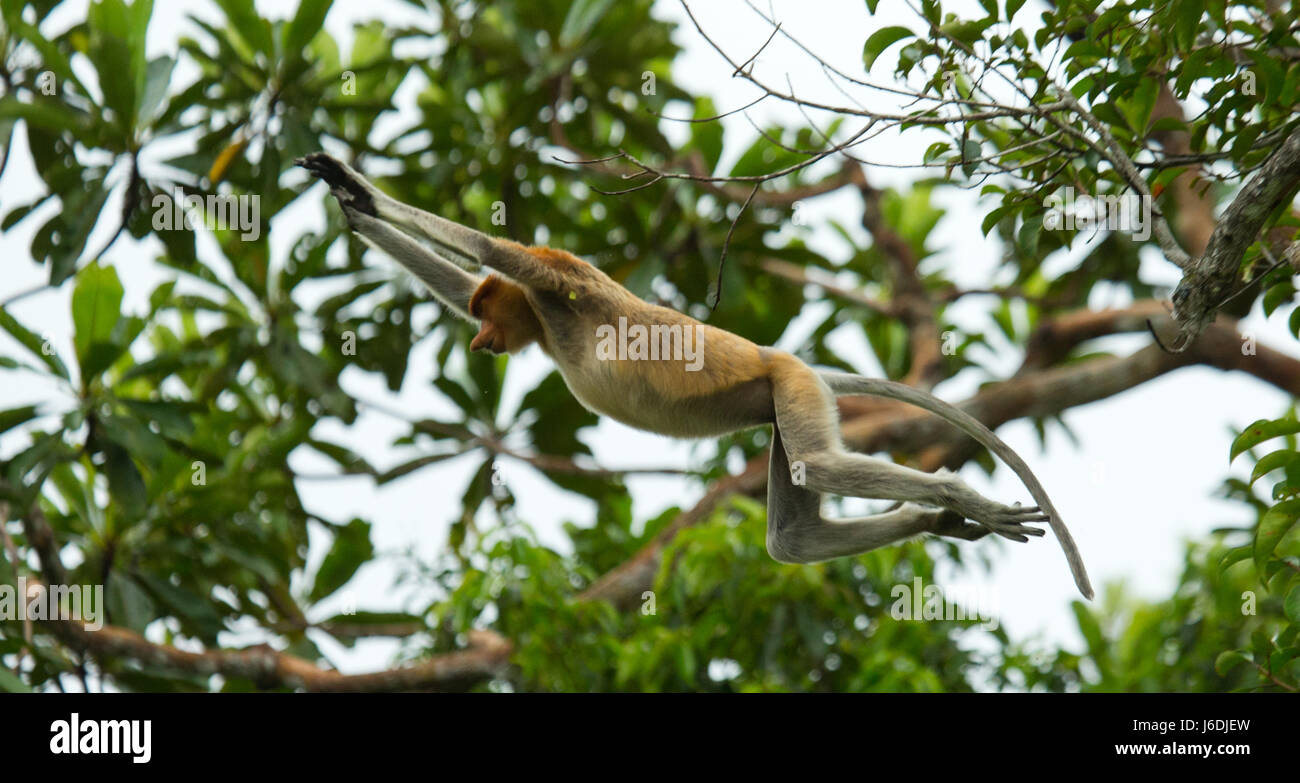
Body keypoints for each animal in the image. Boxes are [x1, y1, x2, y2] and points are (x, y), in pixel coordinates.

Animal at [296, 152, 1093, 599]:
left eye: (487, 312)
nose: (482, 340)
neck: (550, 325)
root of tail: (788, 356)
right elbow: (449, 269)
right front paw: (355, 208)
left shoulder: (564, 280)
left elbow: (495, 249)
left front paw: (355, 184)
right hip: (781, 401)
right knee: (791, 536)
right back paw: (935, 519)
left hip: (791, 386)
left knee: (816, 462)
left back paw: (958, 496)